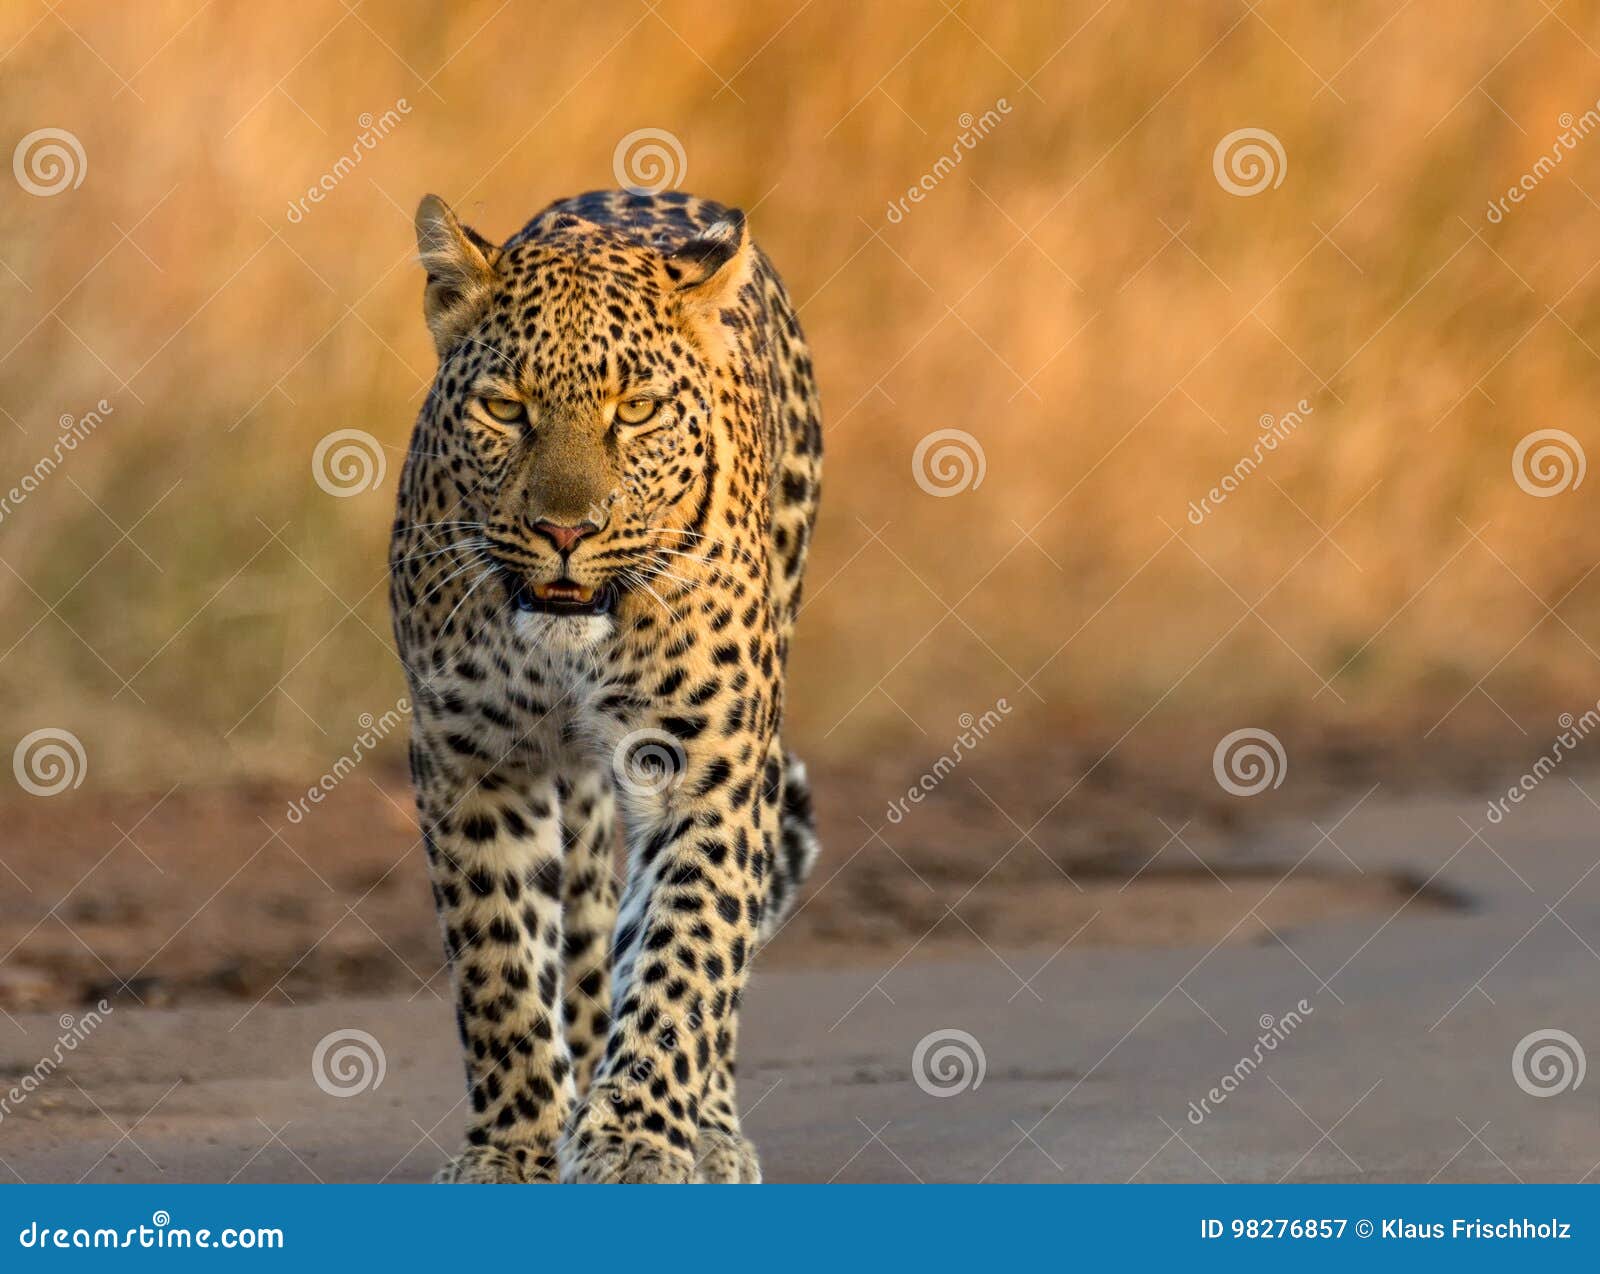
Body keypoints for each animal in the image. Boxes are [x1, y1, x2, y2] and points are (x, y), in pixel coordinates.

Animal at [388, 186, 822, 1184]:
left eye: (639, 409)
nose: (564, 531)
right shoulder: (472, 759)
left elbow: (685, 953)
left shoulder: (708, 766)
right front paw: (513, 1145)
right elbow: (500, 963)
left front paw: (637, 1142)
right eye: (505, 408)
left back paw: (710, 1131)